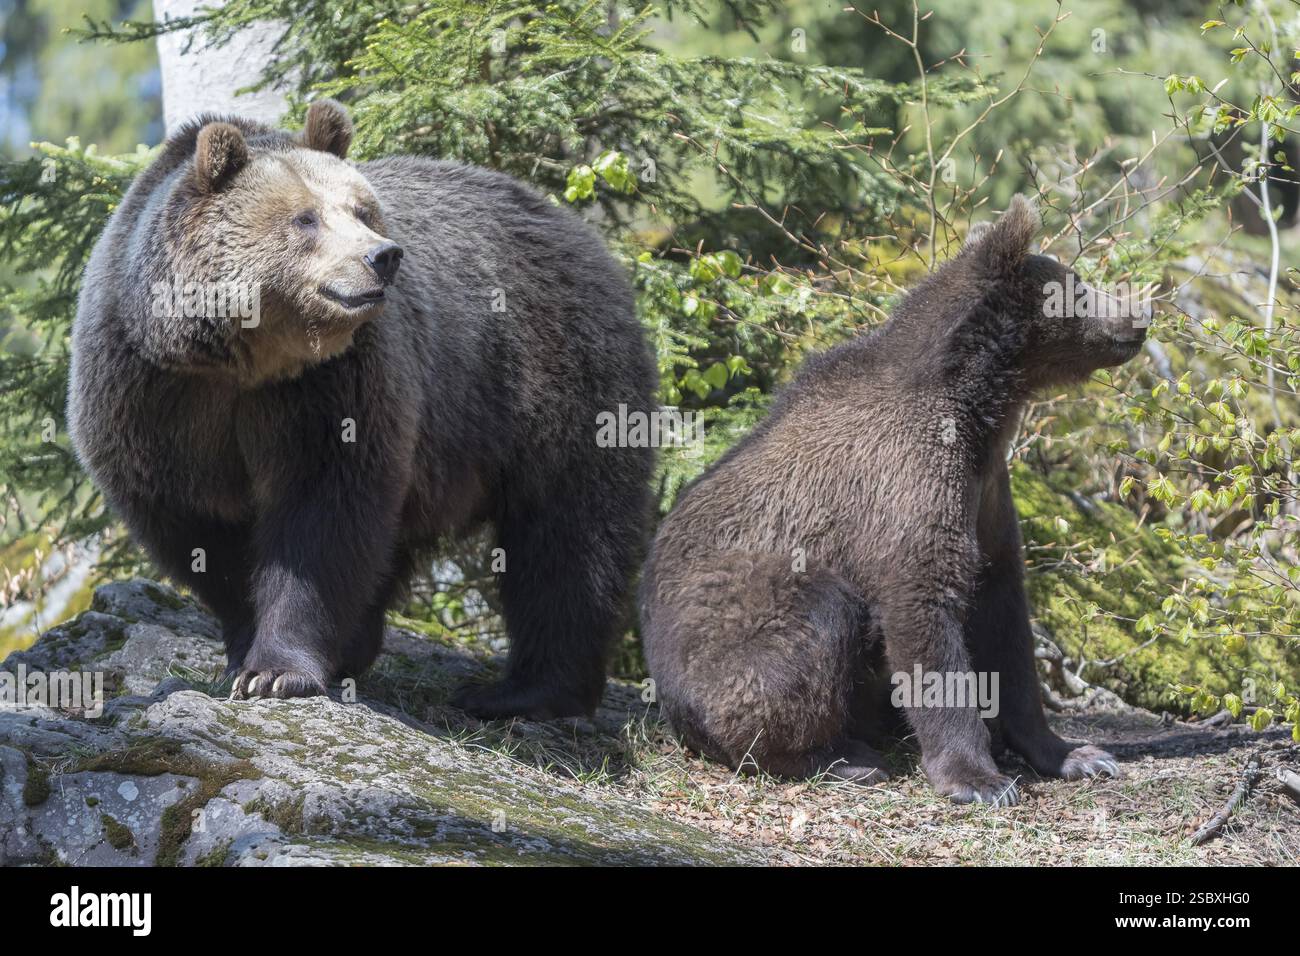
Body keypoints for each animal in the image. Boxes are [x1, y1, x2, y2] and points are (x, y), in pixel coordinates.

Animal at [68, 100, 656, 719]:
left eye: (362, 210)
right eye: (305, 218)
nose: (383, 256)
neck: (246, 361)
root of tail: (573, 225)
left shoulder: (334, 386)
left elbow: (325, 513)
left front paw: (276, 670)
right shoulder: (154, 396)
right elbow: (200, 532)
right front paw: (246, 652)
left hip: (556, 376)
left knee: (569, 536)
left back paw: (525, 690)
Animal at [639, 196, 1144, 805]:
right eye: (1079, 287)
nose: (1139, 320)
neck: (978, 410)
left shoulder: (986, 496)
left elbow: (1007, 628)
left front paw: (1074, 754)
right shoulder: (905, 484)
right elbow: (923, 608)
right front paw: (978, 779)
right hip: (729, 621)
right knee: (809, 628)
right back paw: (840, 757)